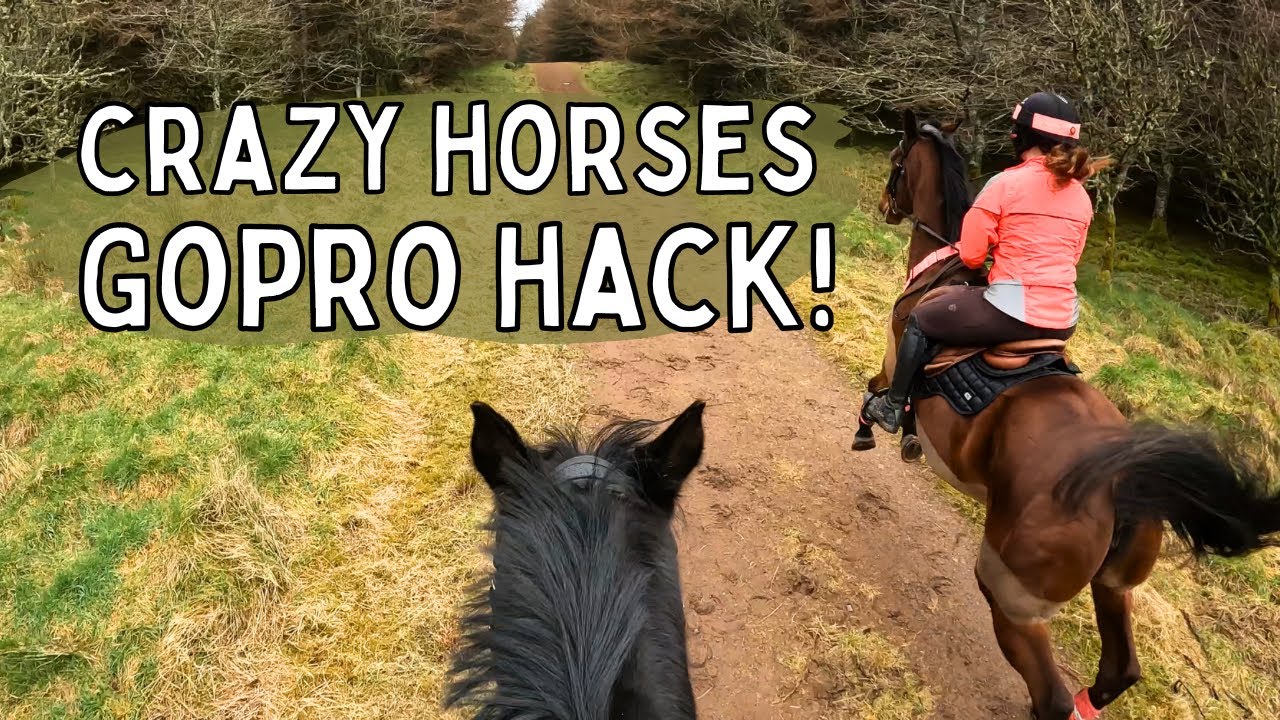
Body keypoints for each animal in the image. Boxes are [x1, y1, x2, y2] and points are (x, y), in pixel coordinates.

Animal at [859, 110, 1280, 719]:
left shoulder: (894, 360)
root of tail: (1121, 474)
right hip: (1115, 586)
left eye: (896, 160)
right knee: (1119, 671)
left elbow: (877, 394)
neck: (945, 273)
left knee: (1053, 693)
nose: (885, 207)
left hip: (1013, 594)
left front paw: (875, 428)